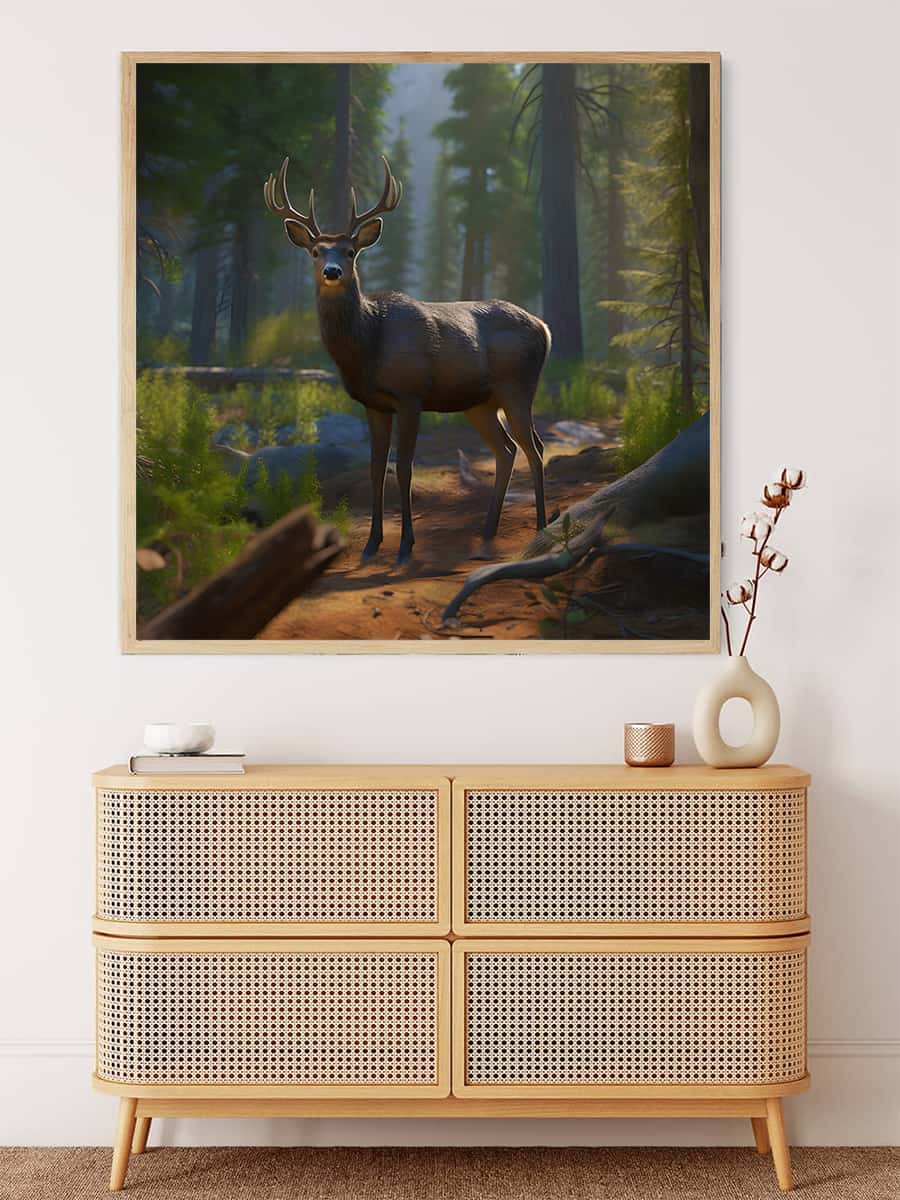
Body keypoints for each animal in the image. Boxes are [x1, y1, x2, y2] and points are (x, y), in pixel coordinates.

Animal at [264, 155, 550, 565]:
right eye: (316, 252)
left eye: (350, 251)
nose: (332, 272)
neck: (369, 345)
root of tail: (544, 327)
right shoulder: (374, 404)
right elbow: (375, 469)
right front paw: (371, 545)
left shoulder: (411, 394)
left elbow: (403, 468)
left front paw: (405, 547)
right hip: (480, 403)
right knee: (507, 449)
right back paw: (487, 533)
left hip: (518, 387)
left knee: (535, 449)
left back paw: (542, 529)